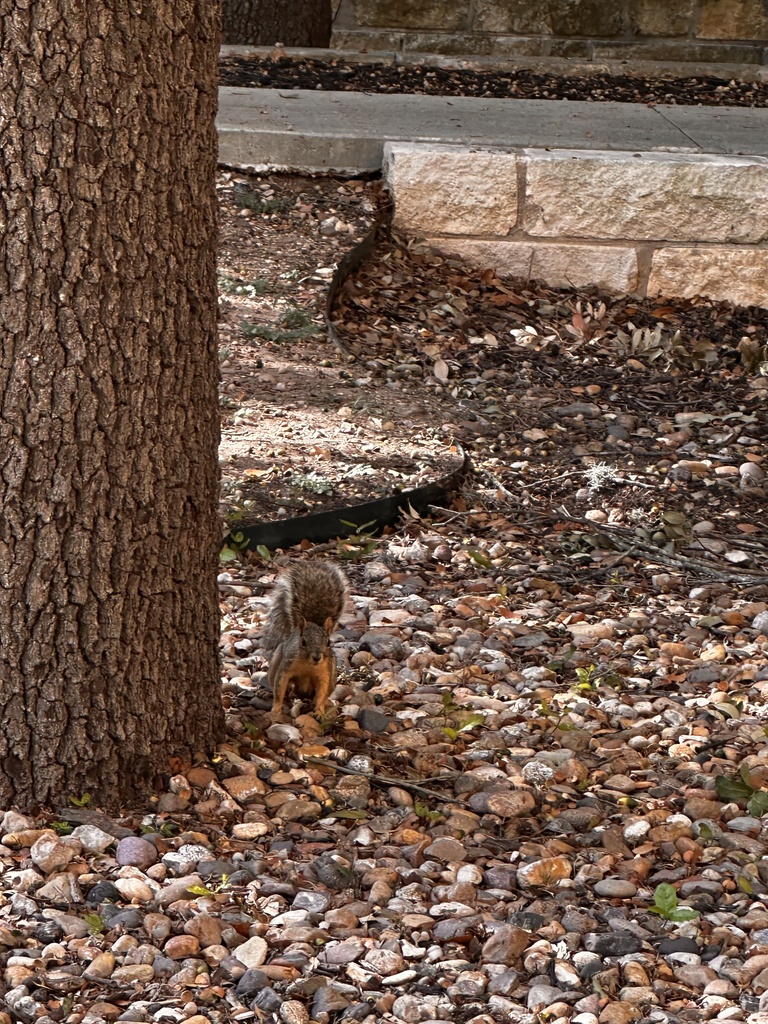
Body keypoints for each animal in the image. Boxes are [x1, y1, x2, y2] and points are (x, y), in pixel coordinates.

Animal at [262, 560, 348, 718]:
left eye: (328, 643)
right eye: (303, 642)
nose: (317, 657)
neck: (308, 666)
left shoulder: (325, 674)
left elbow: (322, 692)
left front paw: (319, 711)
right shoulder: (286, 668)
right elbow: (279, 688)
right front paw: (276, 709)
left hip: (333, 676)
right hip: (277, 661)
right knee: (278, 685)